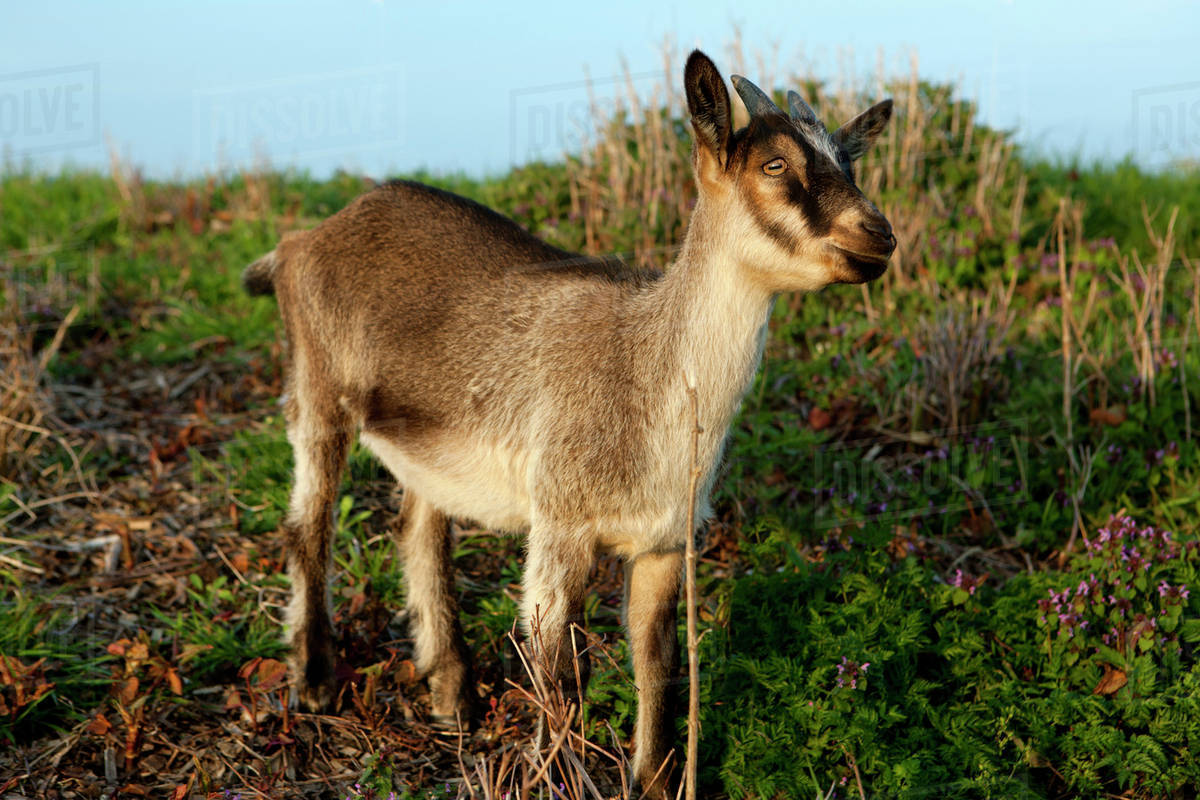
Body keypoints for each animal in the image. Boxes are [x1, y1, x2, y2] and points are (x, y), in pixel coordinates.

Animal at [243, 49, 894, 794]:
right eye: (774, 165)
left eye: (848, 161)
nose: (878, 235)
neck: (647, 368)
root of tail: (302, 241)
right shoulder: (561, 525)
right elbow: (559, 667)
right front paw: (556, 775)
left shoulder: (662, 541)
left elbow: (655, 660)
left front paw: (654, 780)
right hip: (317, 389)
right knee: (308, 524)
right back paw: (317, 679)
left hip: (425, 440)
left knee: (418, 528)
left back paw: (452, 695)